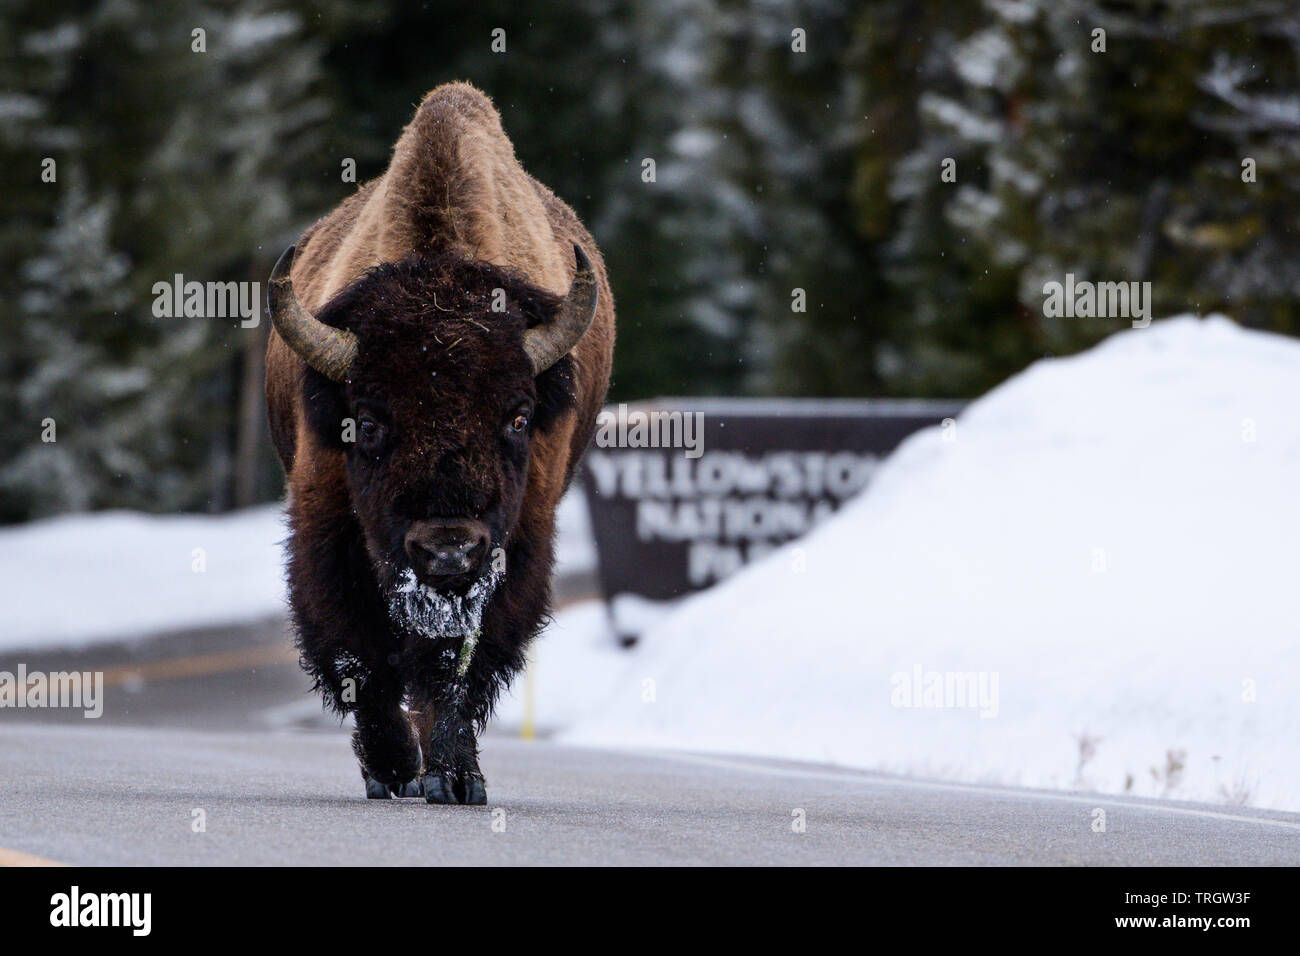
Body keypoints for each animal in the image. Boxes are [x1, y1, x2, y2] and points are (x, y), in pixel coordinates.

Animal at [264, 82, 614, 804]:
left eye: (518, 417)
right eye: (367, 422)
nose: (448, 549)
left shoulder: (515, 547)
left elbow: (457, 665)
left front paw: (454, 776)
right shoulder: (326, 530)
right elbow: (356, 654)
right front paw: (392, 767)